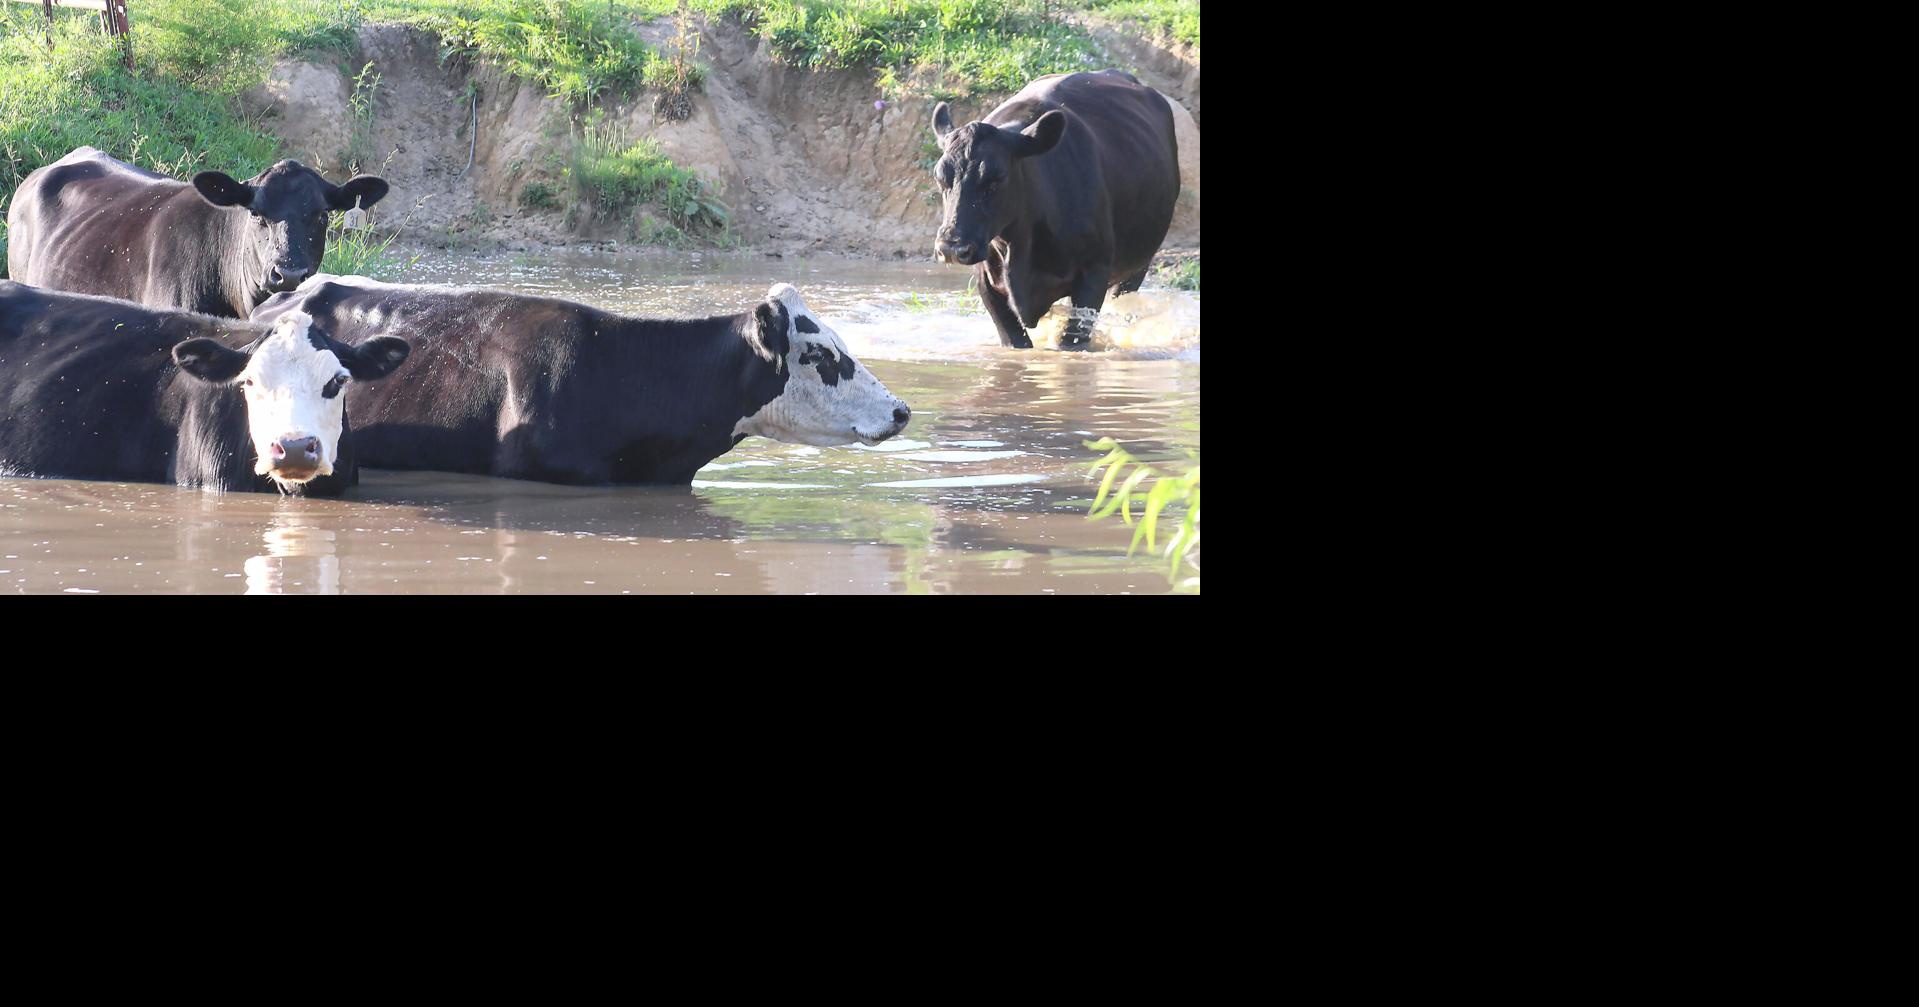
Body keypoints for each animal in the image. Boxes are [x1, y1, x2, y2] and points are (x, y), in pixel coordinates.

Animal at [931, 69, 1180, 350]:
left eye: (997, 178)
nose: (951, 248)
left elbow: (1072, 339)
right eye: (940, 177)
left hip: (1137, 265)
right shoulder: (987, 283)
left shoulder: (1094, 272)